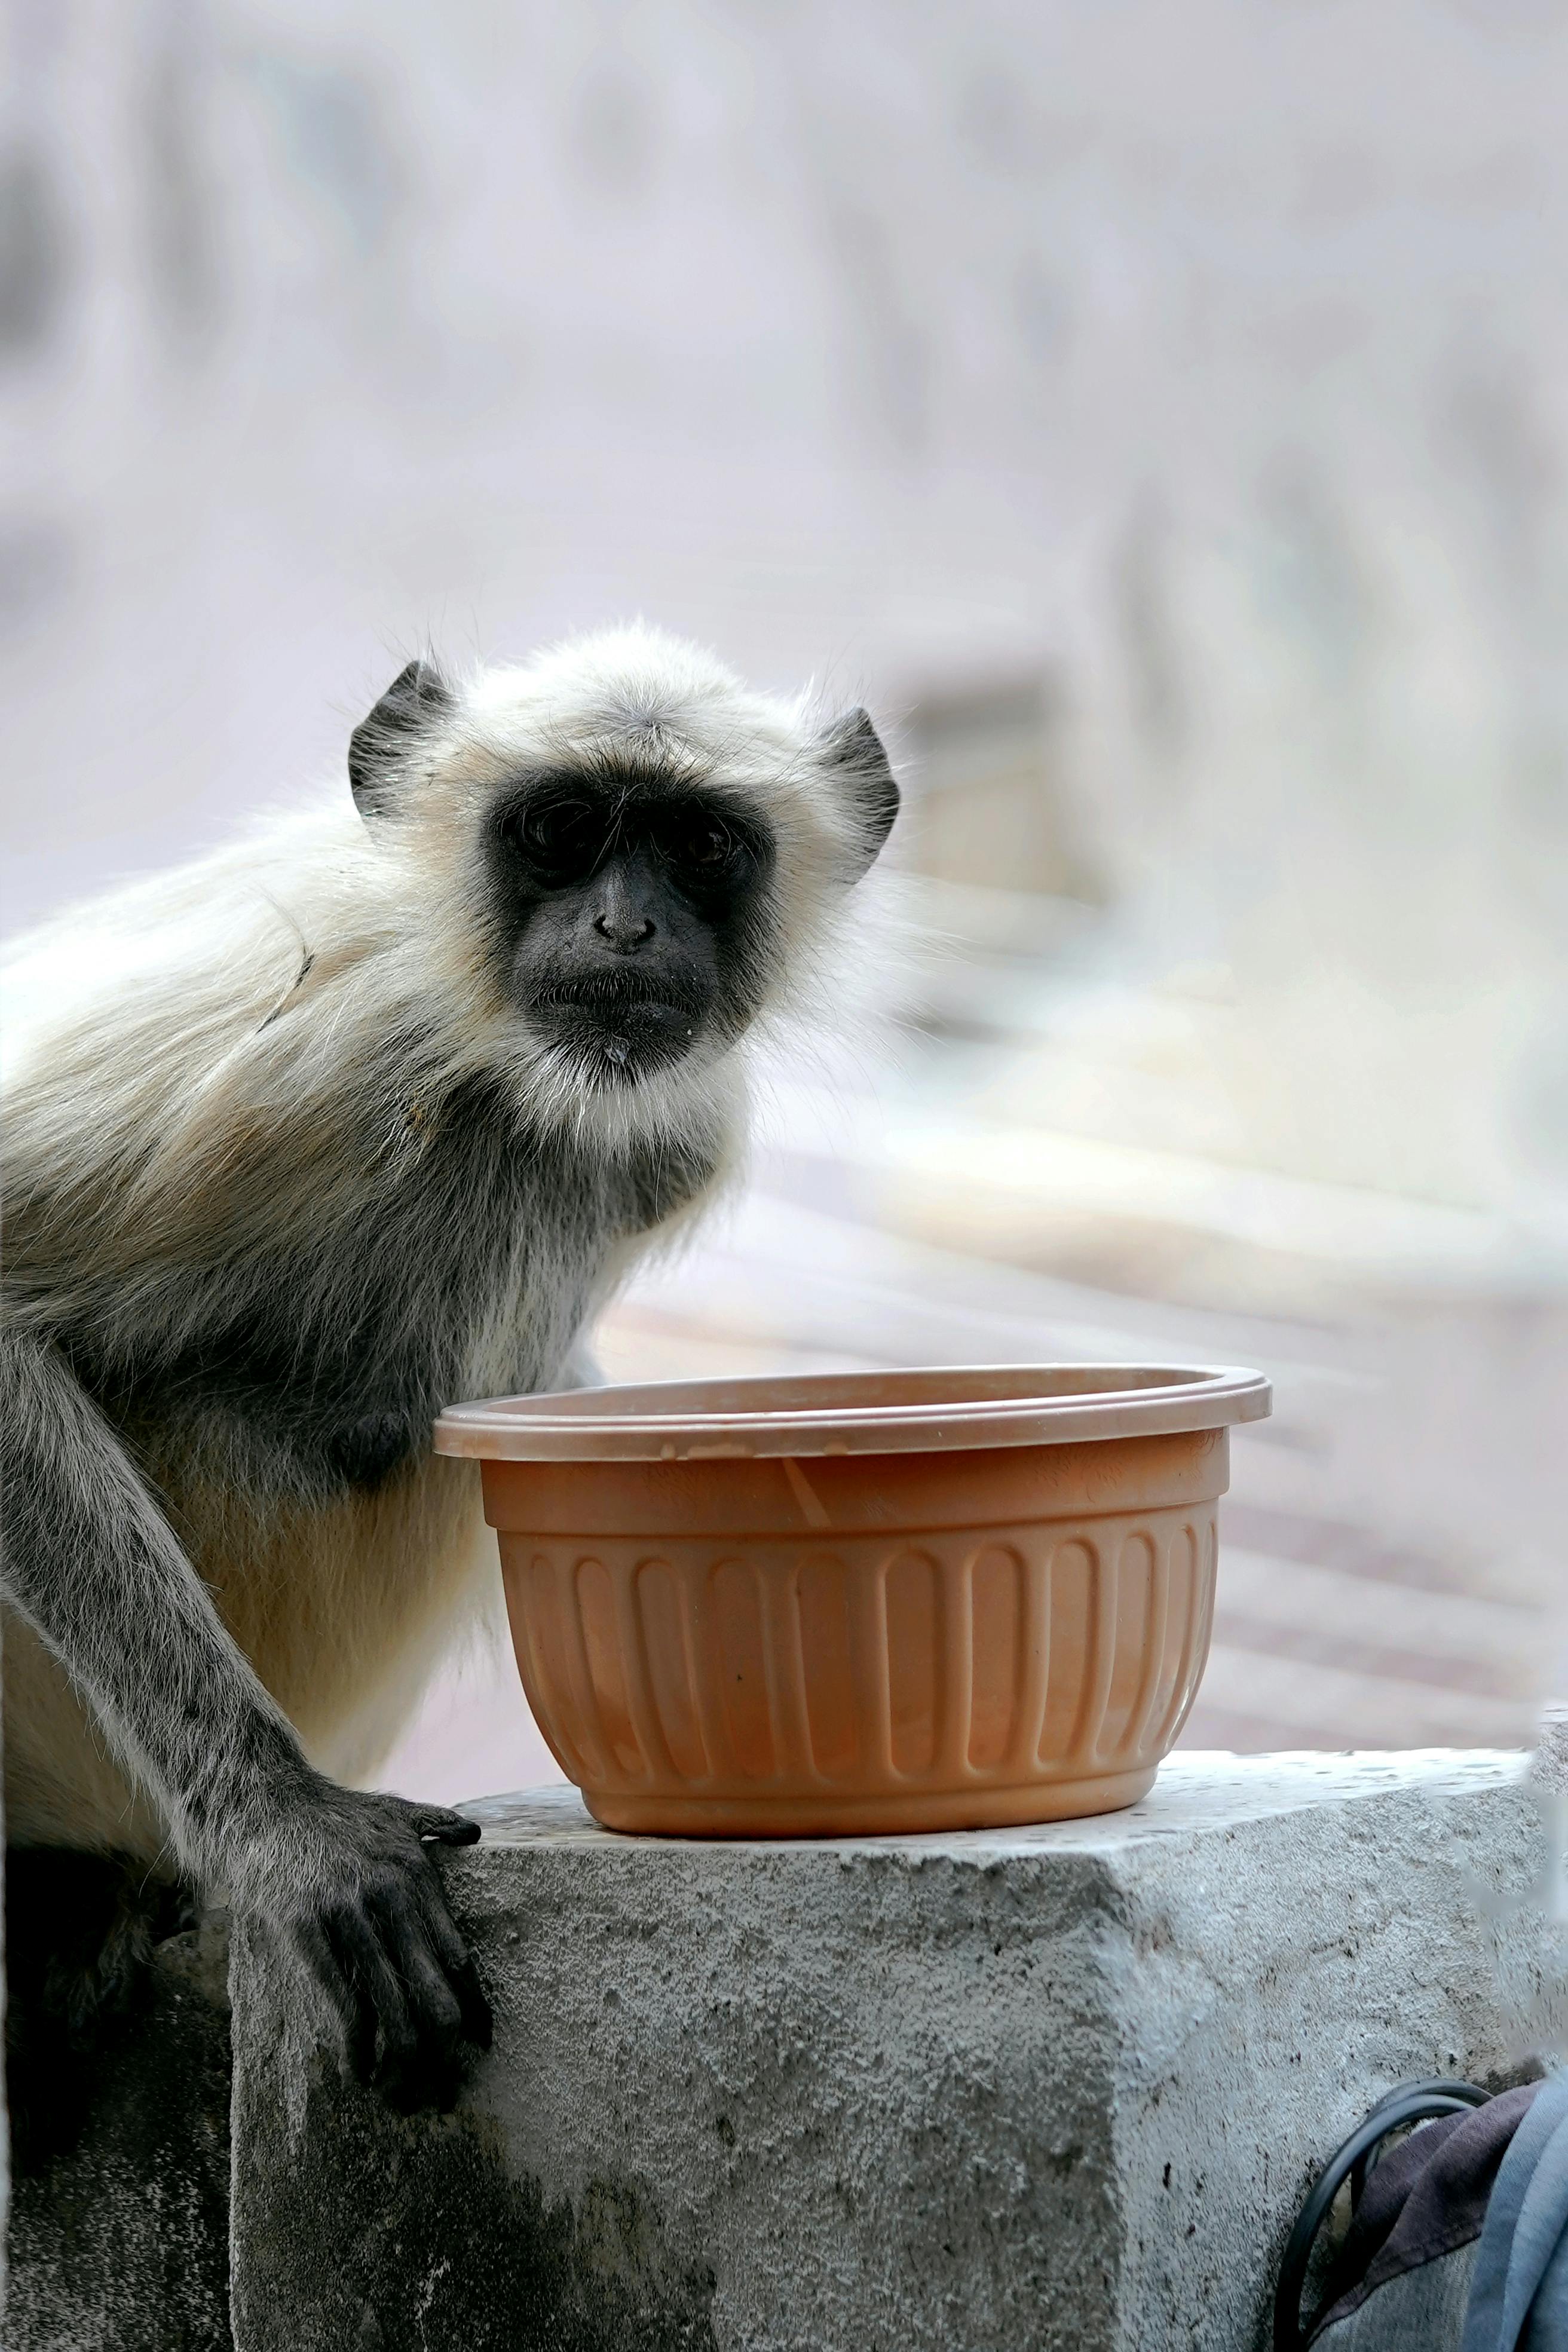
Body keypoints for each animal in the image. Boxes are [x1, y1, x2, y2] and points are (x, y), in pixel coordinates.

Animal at [0, 625, 899, 2148]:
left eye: (700, 845)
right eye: (559, 829)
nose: (622, 931)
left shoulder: (671, 1135)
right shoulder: (306, 1041)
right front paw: (289, 1829)